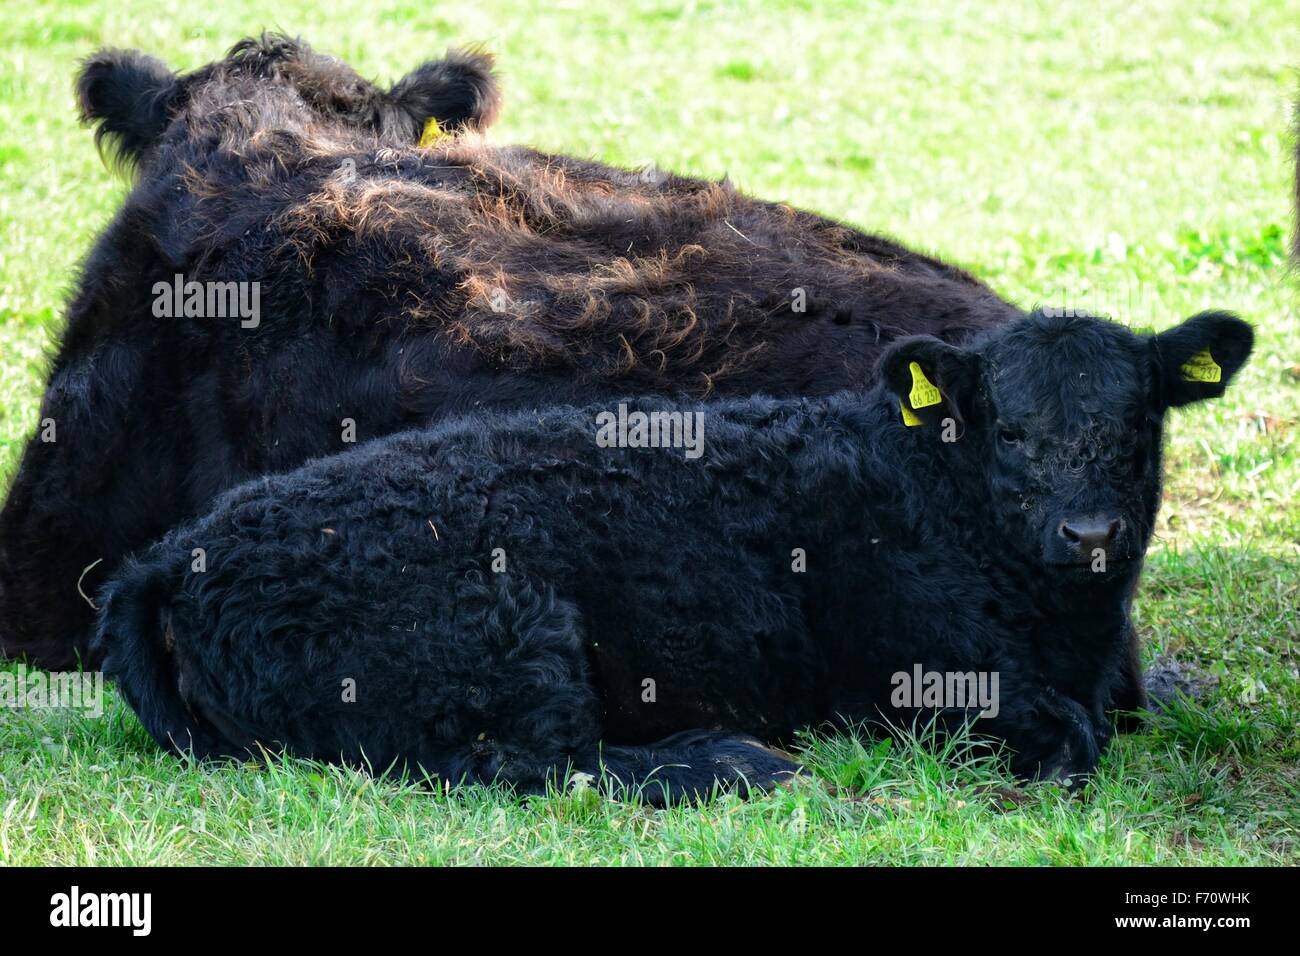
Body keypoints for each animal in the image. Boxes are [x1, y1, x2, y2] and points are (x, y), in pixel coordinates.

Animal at [92, 308, 1253, 803]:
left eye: (1139, 420)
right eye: (1006, 428)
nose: (1090, 532)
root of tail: (180, 551)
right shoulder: (923, 681)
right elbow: (1067, 738)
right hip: (504, 632)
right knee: (533, 765)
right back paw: (728, 761)